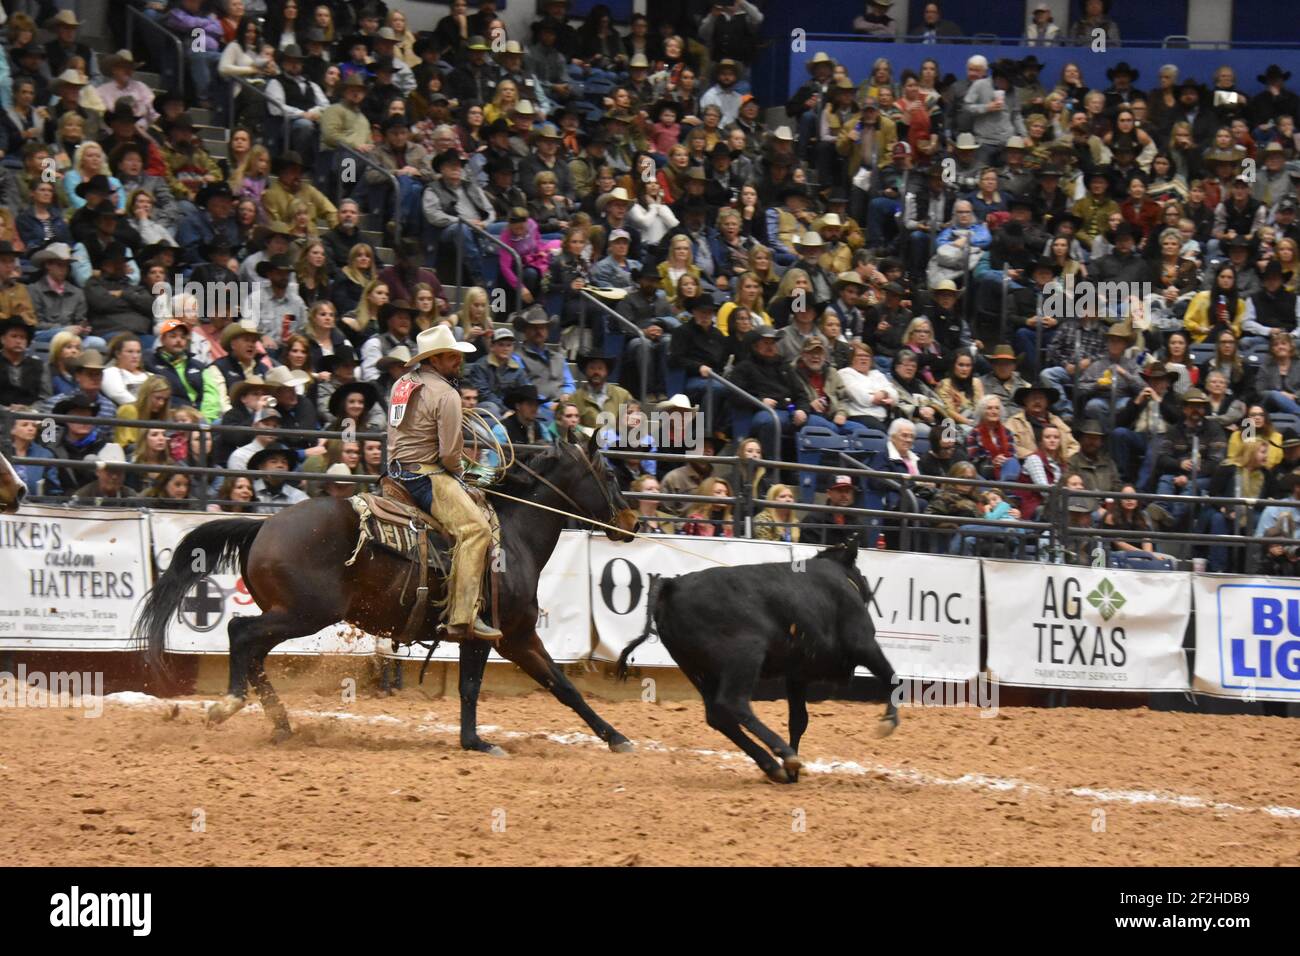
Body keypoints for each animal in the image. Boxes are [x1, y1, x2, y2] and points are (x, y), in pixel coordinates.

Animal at [134, 434, 642, 754]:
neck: (512, 536)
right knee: (241, 633)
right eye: (610, 474)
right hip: (302, 613)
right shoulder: (492, 634)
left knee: (253, 649)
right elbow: (475, 688)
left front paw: (616, 737)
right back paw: (229, 705)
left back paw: (281, 725)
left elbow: (563, 688)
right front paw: (477, 742)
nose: (632, 521)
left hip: (290, 613)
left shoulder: (514, 636)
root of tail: (264, 526)